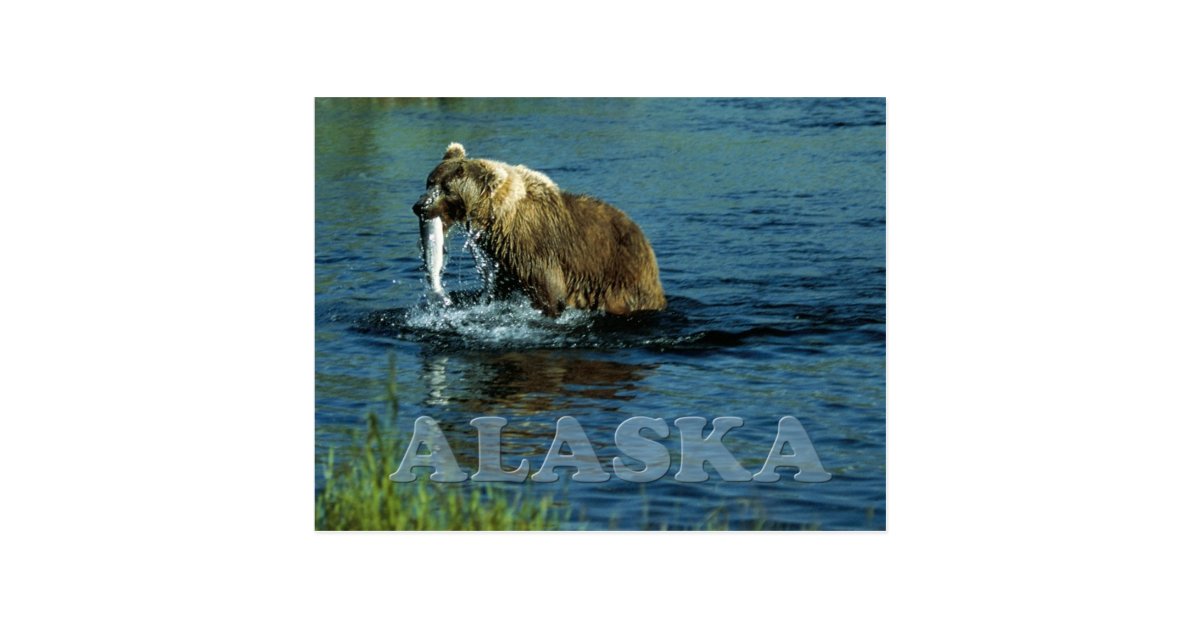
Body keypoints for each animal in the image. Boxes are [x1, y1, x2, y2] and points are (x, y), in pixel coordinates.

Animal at [411, 142, 667, 317]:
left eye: (447, 189)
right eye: (430, 181)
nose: (420, 206)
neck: (499, 219)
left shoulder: (535, 246)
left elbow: (548, 290)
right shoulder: (505, 259)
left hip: (619, 274)